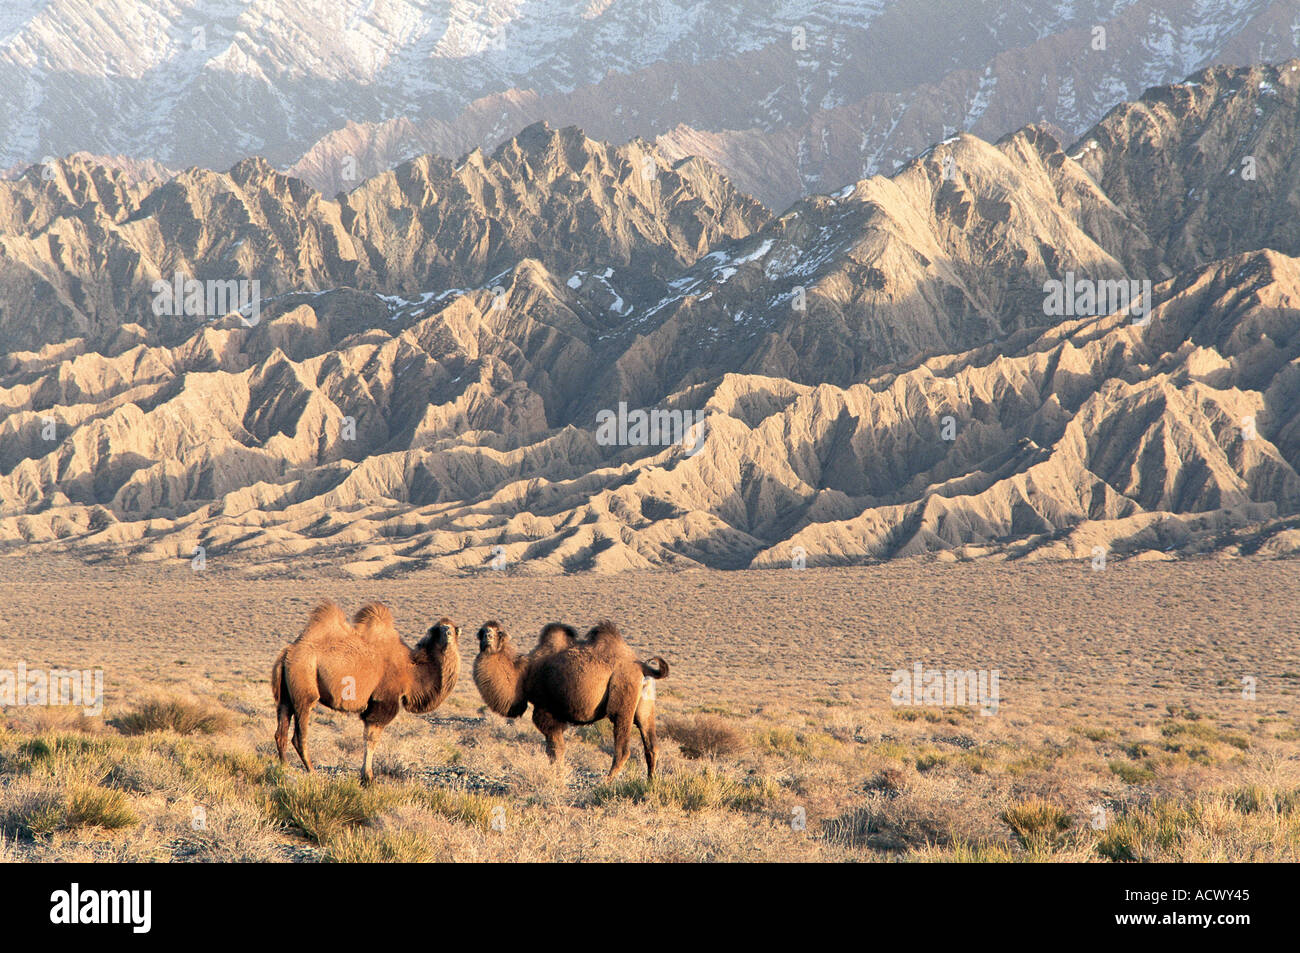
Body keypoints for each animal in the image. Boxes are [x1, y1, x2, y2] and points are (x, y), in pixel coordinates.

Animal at [272, 601, 460, 782]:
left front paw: (366, 776)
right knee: (299, 734)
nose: (448, 634)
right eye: (440, 630)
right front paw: (367, 777)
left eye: (451, 628)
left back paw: (284, 768)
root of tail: (286, 653)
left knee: (281, 732)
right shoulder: (382, 701)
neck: (410, 670)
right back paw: (311, 771)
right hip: (304, 686)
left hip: (286, 696)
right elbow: (371, 739)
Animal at [472, 620, 669, 778]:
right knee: (651, 745)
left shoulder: (545, 710)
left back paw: (606, 783)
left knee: (623, 749)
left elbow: (555, 750)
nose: (488, 636)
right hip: (644, 706)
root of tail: (642, 666)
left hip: (622, 696)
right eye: (482, 631)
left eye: (499, 632)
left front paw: (556, 775)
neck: (522, 674)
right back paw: (651, 782)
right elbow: (554, 750)